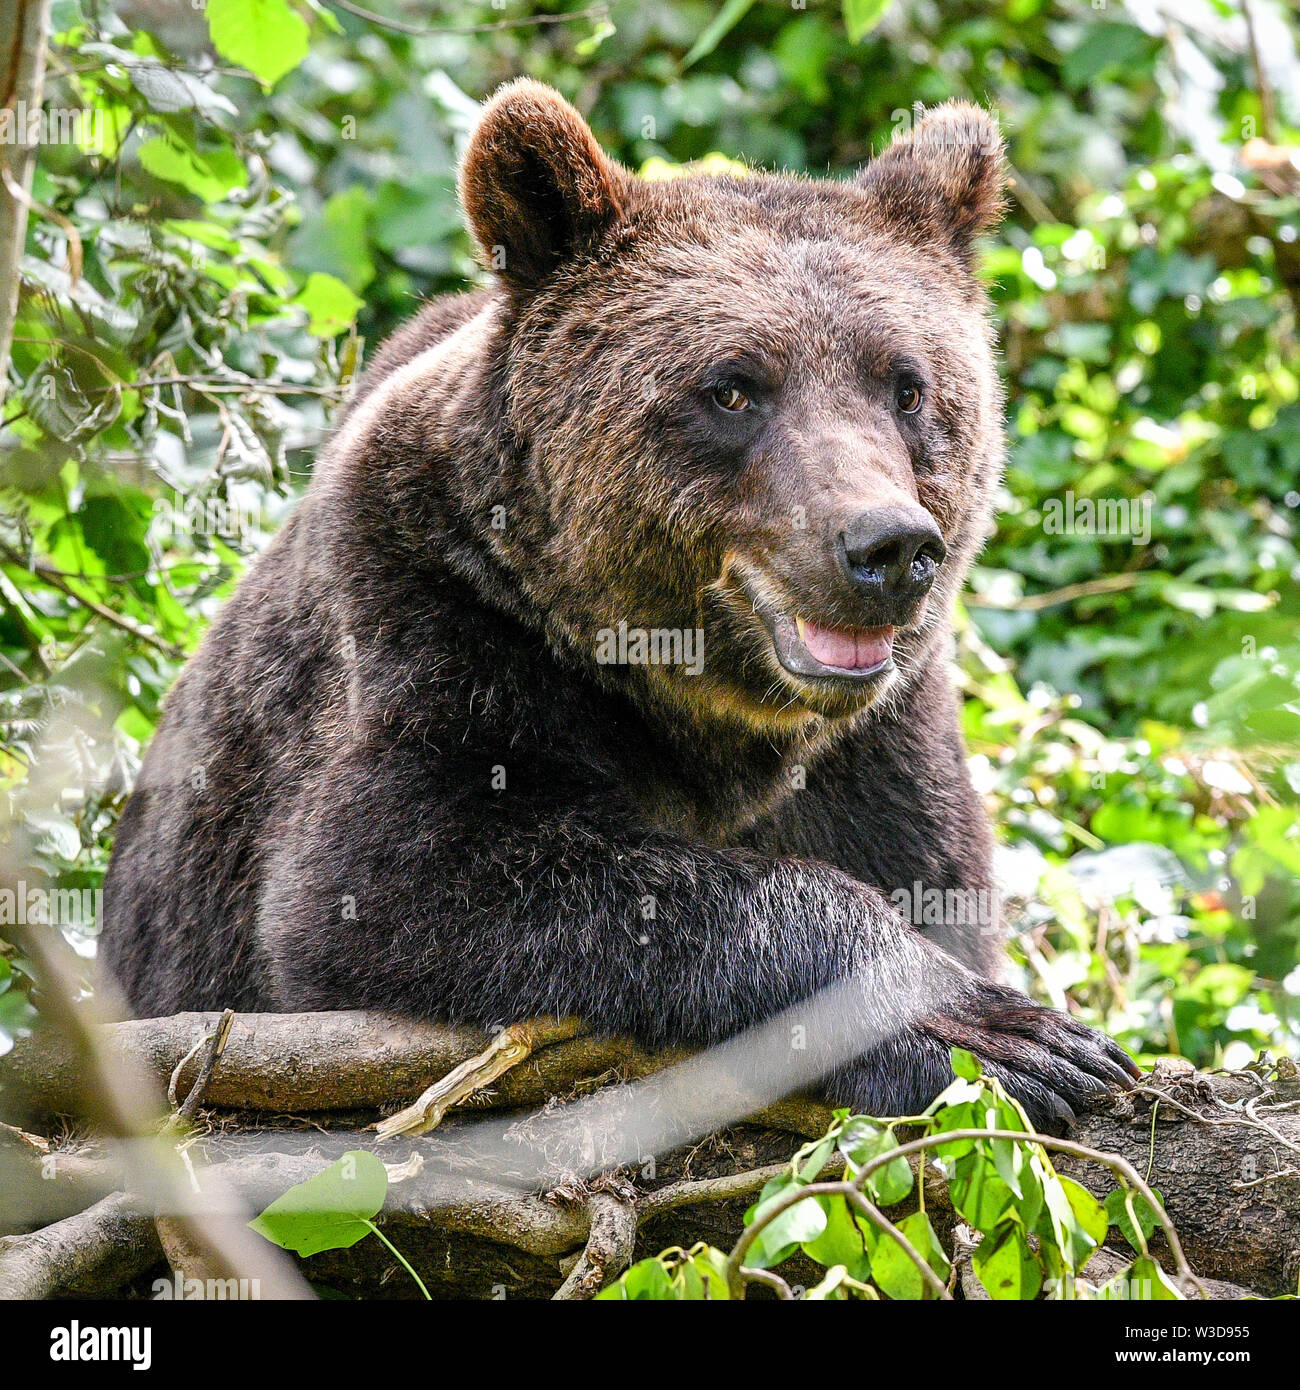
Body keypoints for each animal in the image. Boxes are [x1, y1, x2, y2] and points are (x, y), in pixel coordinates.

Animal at [99, 80, 1137, 1131]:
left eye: (909, 387)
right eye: (733, 388)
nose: (886, 547)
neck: (706, 711)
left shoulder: (880, 747)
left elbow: (927, 874)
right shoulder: (433, 616)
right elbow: (393, 882)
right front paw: (1001, 1035)